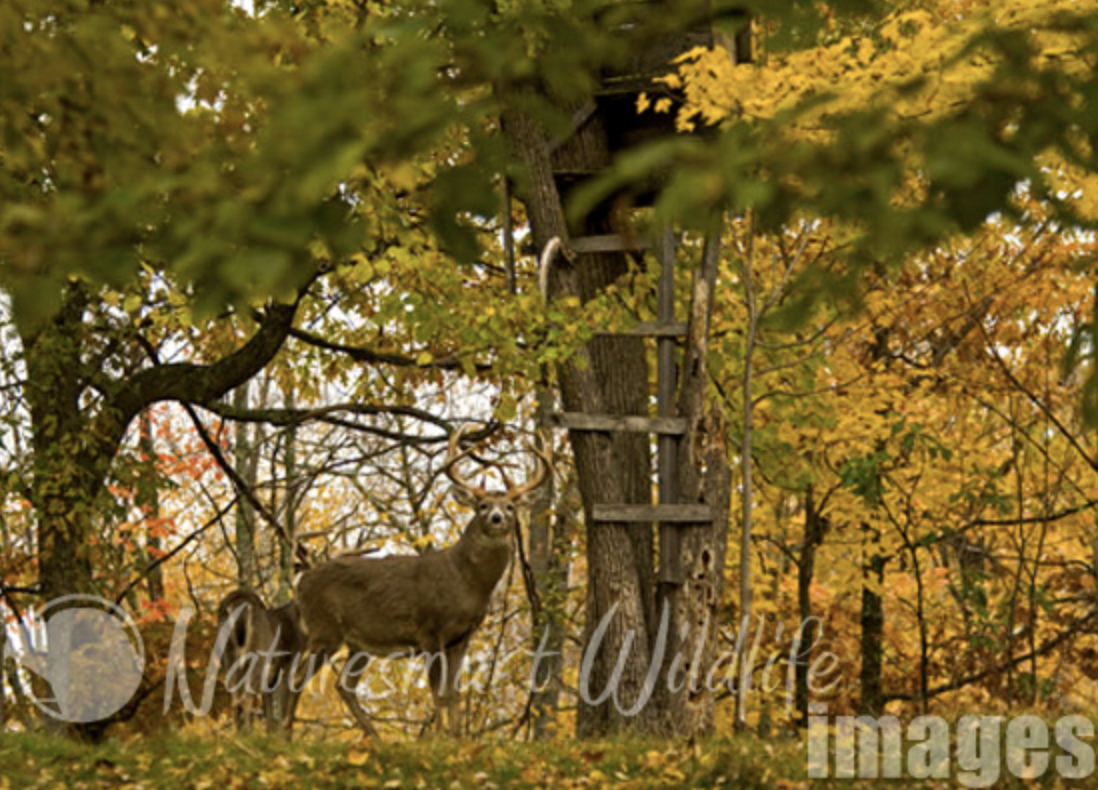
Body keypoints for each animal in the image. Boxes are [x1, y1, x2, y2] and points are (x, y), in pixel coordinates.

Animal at [215, 589, 305, 734]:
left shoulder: (271, 676)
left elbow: (268, 708)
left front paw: (270, 735)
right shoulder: (287, 665)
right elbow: (281, 706)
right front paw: (281, 735)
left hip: (228, 657)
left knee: (235, 698)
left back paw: (240, 735)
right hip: (258, 654)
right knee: (245, 697)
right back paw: (249, 733)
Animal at [293, 426, 551, 737]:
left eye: (511, 506)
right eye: (482, 505)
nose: (497, 517)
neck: (465, 582)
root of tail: (302, 581)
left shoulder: (462, 636)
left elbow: (454, 692)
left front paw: (457, 737)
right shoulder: (429, 629)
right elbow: (437, 691)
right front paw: (438, 738)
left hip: (358, 643)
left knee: (343, 685)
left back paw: (376, 737)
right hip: (325, 629)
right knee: (295, 679)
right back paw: (280, 731)